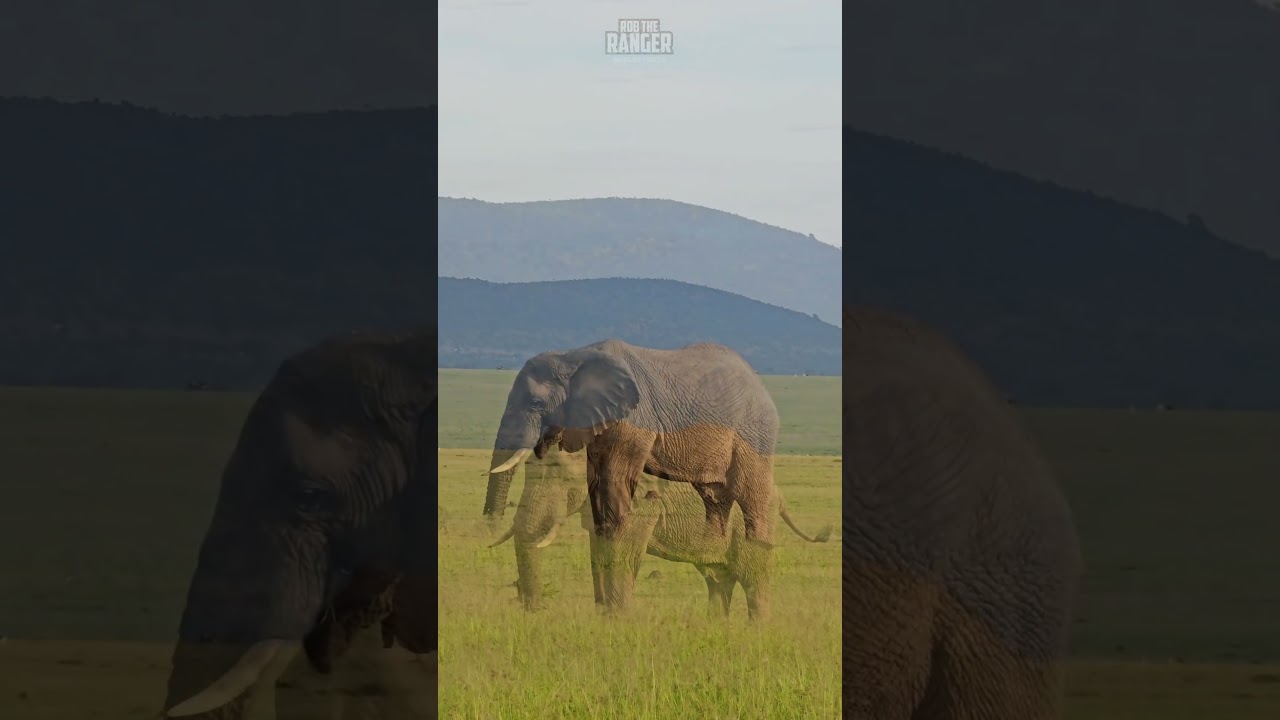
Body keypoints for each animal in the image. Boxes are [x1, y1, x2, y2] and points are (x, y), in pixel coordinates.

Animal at [488, 446, 833, 615]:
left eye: (560, 473)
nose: (534, 611)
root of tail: (780, 497)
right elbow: (599, 555)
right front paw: (603, 617)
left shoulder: (640, 501)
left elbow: (622, 556)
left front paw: (617, 621)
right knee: (717, 580)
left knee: (752, 579)